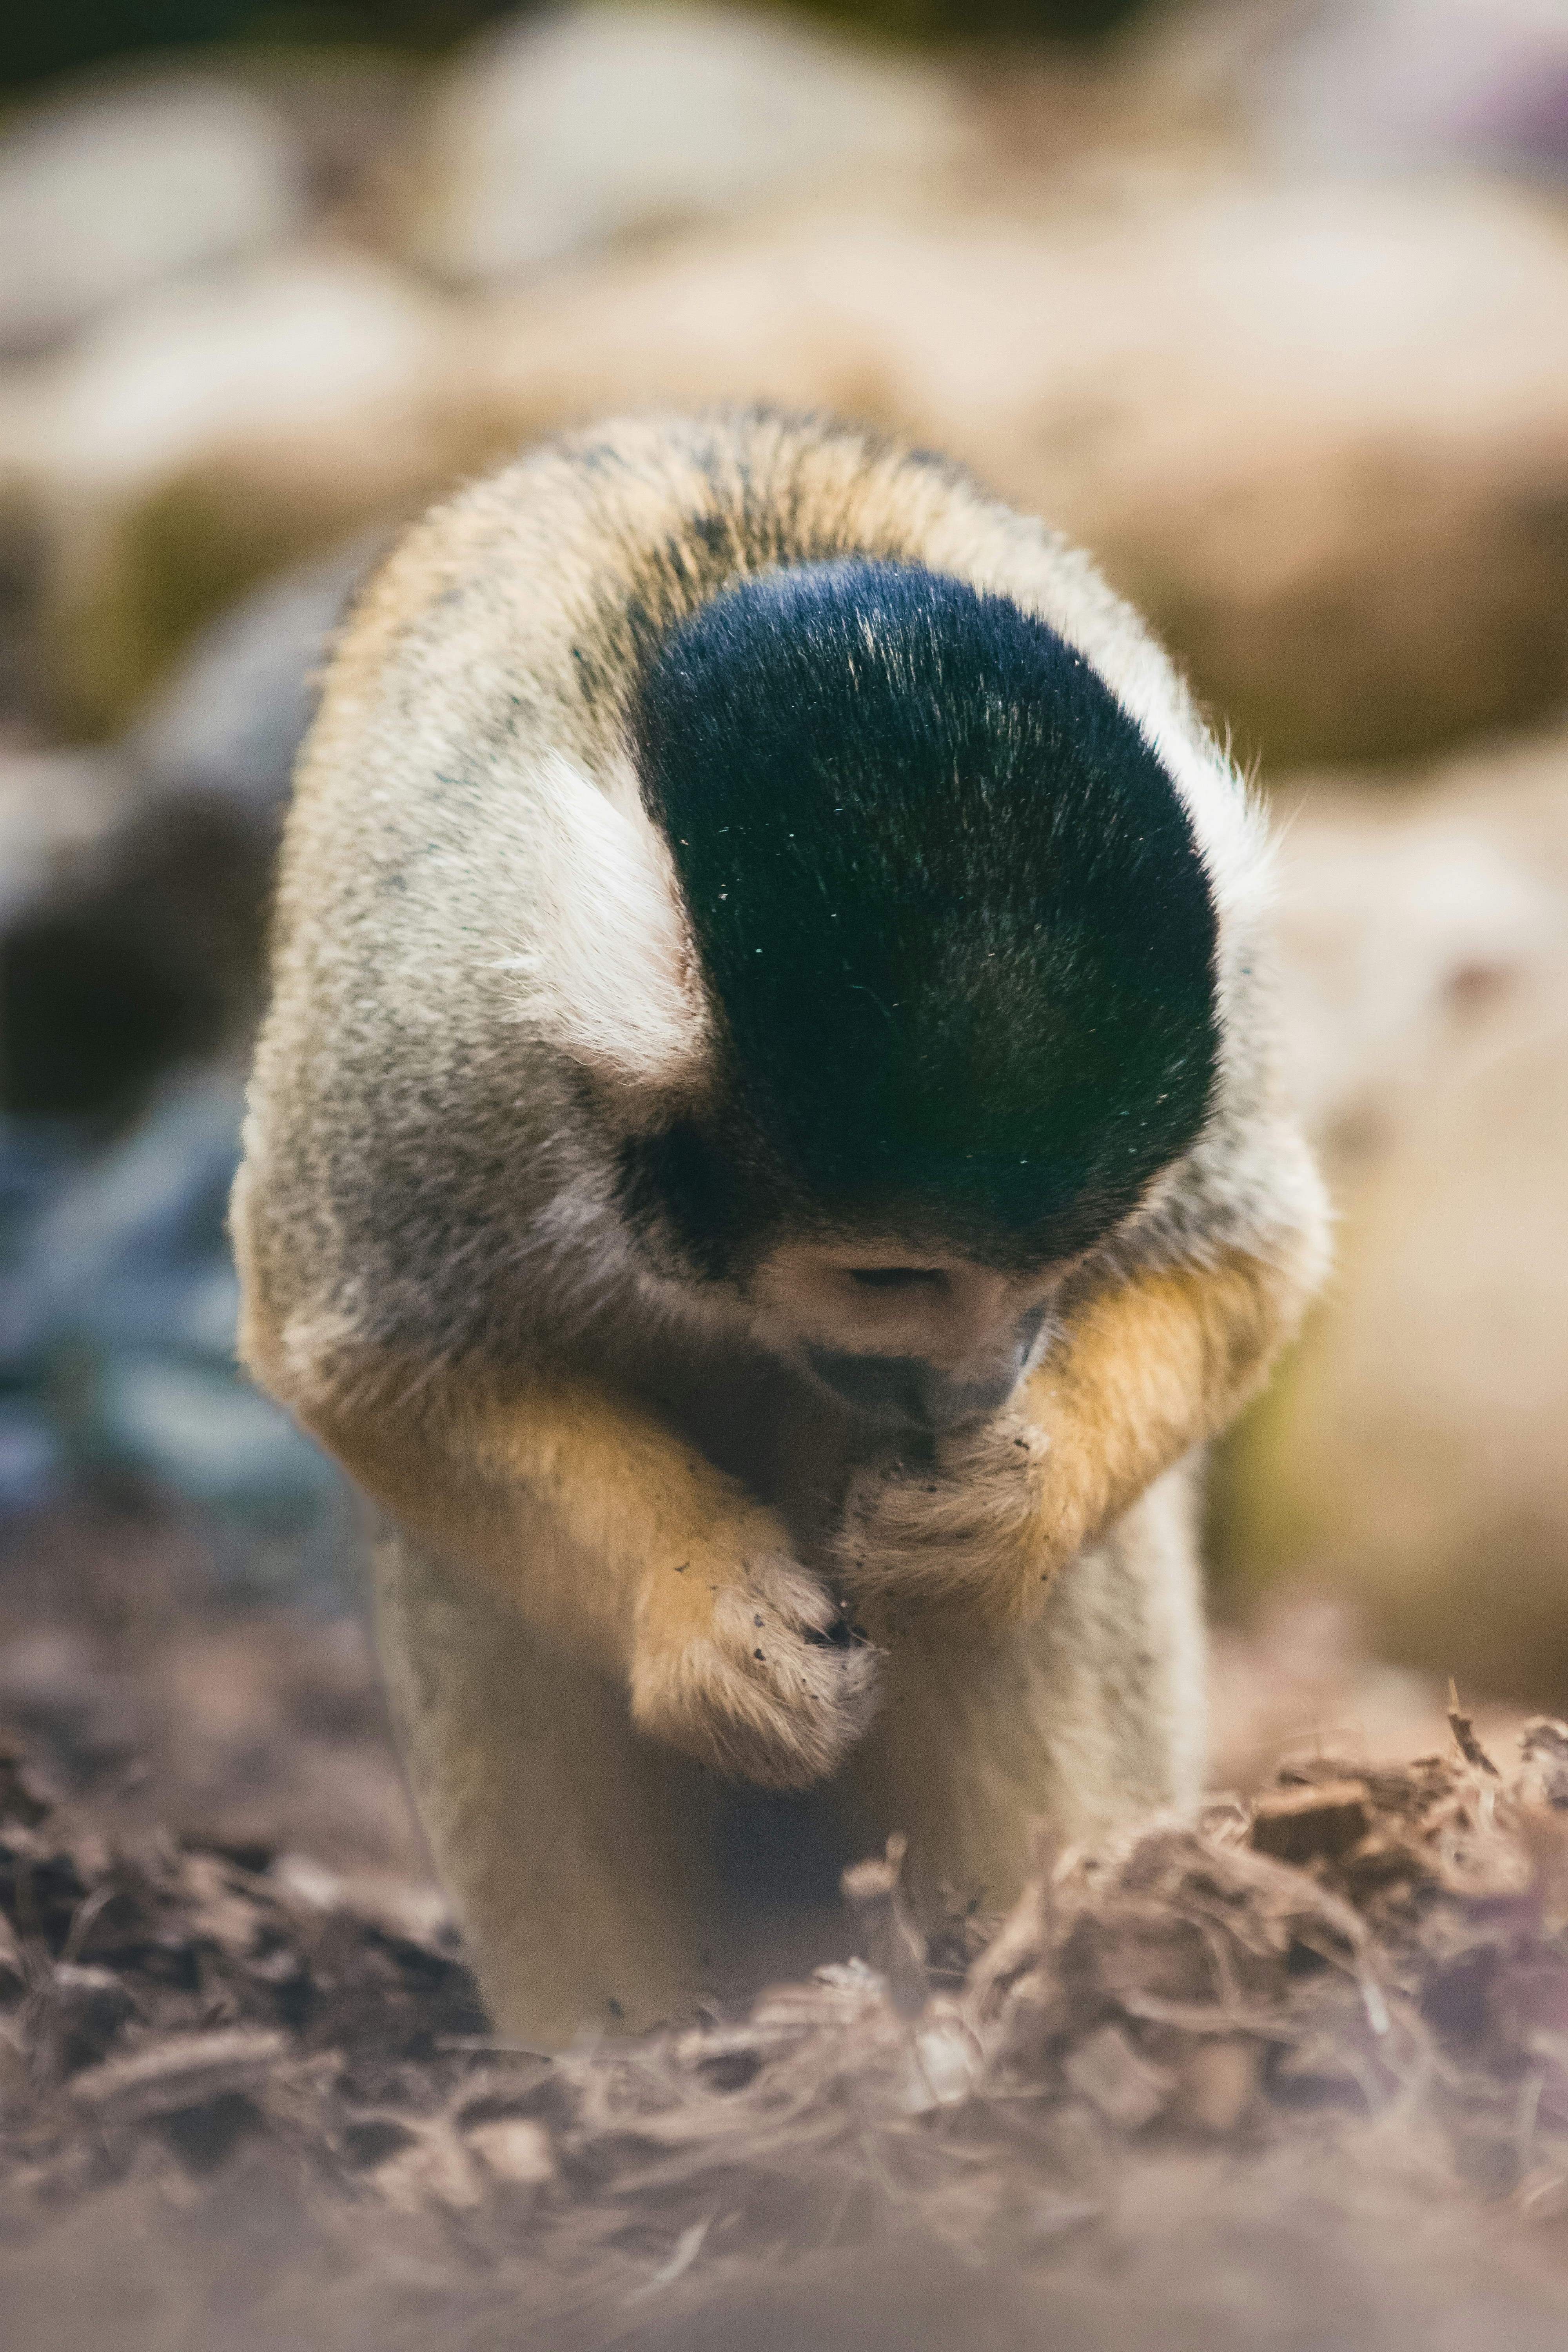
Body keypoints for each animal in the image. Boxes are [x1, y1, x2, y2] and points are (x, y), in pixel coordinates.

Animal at [233, 408, 1328, 2046]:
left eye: (1060, 1264)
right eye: (889, 1278)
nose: (982, 1381)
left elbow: (1248, 1259)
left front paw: (1007, 1510)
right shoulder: (434, 1021)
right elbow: (344, 1350)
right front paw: (700, 1617)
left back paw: (1027, 1962)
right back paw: (622, 2054)